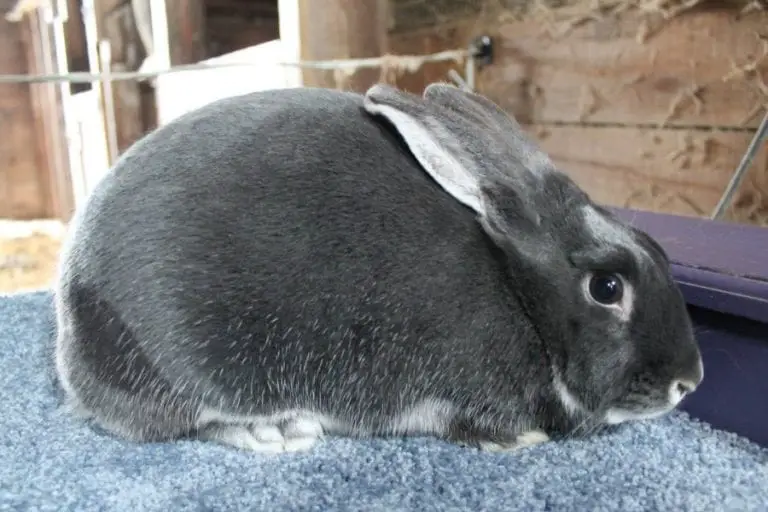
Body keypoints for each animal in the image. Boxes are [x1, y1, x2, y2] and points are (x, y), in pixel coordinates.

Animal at [53, 82, 704, 454]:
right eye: (607, 286)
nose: (688, 382)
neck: (522, 300)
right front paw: (517, 439)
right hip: (186, 372)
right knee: (186, 424)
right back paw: (275, 432)